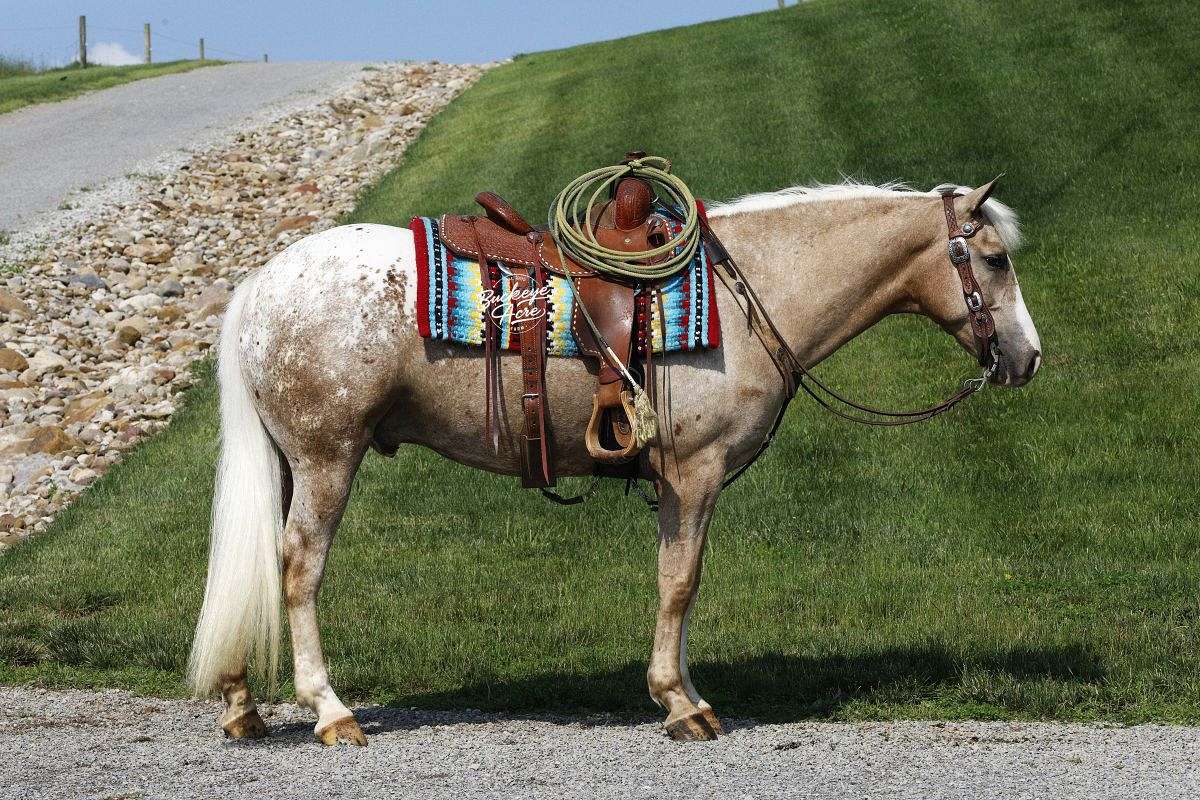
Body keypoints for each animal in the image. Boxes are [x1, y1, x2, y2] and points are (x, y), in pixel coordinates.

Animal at [187, 179, 1042, 744]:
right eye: (996, 259)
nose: (1028, 358)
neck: (745, 293)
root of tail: (260, 286)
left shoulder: (681, 482)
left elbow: (679, 581)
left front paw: (682, 691)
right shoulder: (695, 471)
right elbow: (680, 582)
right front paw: (679, 702)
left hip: (292, 462)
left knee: (263, 562)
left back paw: (241, 703)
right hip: (328, 457)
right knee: (299, 567)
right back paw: (329, 710)